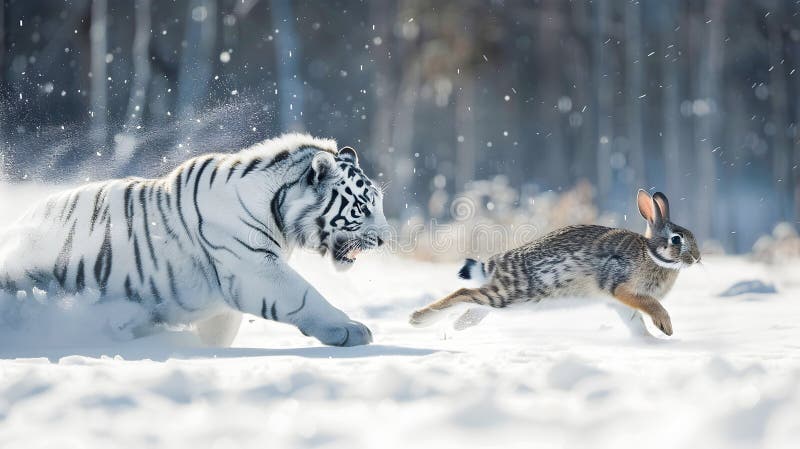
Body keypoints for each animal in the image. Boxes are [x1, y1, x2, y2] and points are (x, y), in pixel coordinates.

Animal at [0, 133, 390, 347]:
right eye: (362, 206)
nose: (386, 239)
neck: (277, 210)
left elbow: (221, 330)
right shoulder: (254, 269)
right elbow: (305, 296)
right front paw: (351, 329)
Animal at [409, 189, 700, 337]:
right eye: (676, 239)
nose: (697, 258)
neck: (650, 254)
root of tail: (496, 263)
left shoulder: (618, 304)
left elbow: (635, 324)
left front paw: (651, 344)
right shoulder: (621, 289)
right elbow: (651, 306)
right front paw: (665, 327)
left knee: (474, 303)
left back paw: (458, 326)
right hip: (515, 293)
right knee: (464, 293)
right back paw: (418, 320)